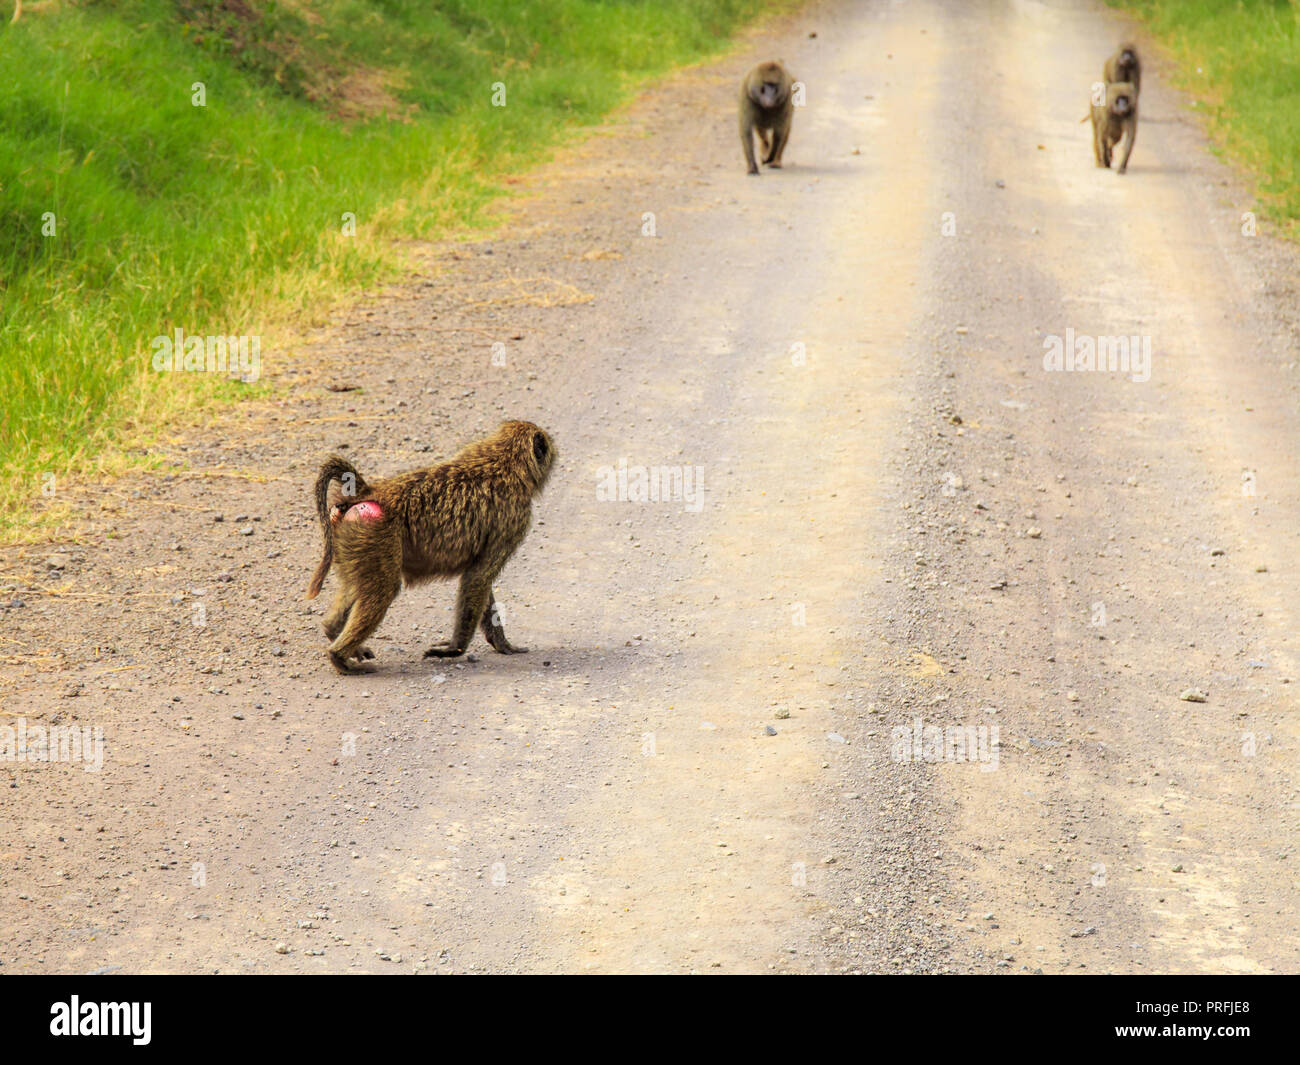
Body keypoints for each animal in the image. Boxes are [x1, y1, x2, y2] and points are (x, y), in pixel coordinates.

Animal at [306, 420, 556, 674]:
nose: (553, 453)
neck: (502, 461)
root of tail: (368, 493)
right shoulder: (513, 521)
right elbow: (479, 577)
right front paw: (453, 650)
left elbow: (478, 579)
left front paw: (501, 644)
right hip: (375, 536)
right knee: (384, 589)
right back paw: (339, 657)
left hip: (353, 540)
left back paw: (335, 632)